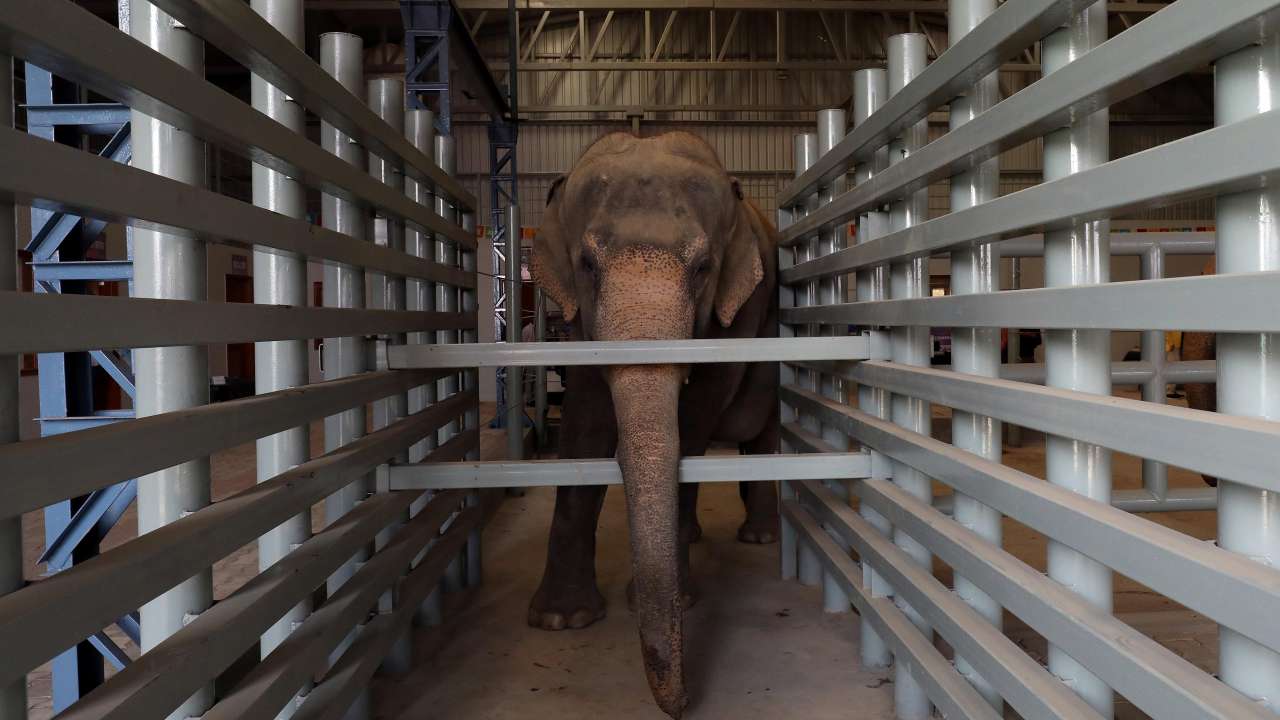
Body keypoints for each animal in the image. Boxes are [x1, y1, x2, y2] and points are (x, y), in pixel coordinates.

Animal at [528, 131, 781, 718]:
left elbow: (698, 413)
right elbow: (585, 422)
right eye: (587, 265)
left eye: (703, 267)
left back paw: (758, 536)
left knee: (761, 422)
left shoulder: (739, 314)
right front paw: (562, 620)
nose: (684, 703)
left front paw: (682, 601)